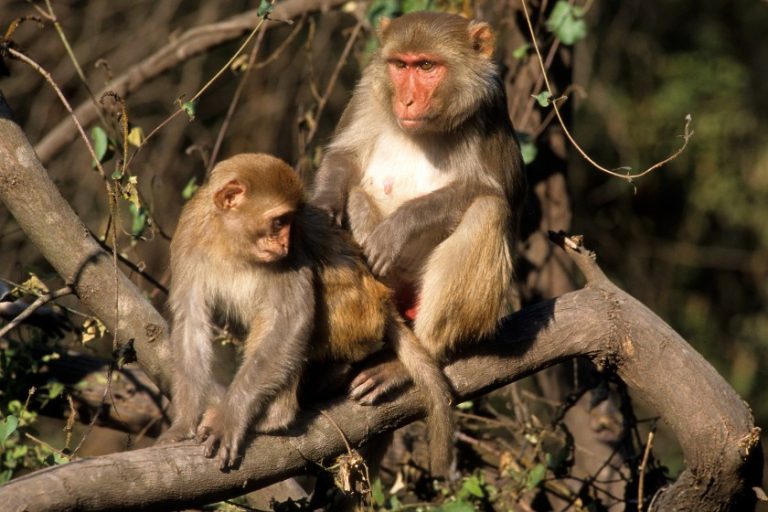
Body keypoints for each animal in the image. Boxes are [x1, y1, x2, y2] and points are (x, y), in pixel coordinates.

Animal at [158, 153, 454, 473]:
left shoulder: (291, 256)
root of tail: (384, 299)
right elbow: (191, 323)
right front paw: (182, 425)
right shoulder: (188, 237)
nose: (285, 243)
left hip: (359, 309)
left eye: (291, 222)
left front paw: (229, 418)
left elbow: (291, 320)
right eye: (279, 221)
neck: (230, 242)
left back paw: (277, 417)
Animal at [311, 11, 525, 405]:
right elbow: (344, 158)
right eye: (401, 66)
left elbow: (492, 191)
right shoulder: (367, 92)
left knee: (487, 210)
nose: (407, 100)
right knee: (357, 196)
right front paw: (324, 205)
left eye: (427, 66)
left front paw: (400, 226)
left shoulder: (490, 108)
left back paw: (415, 356)